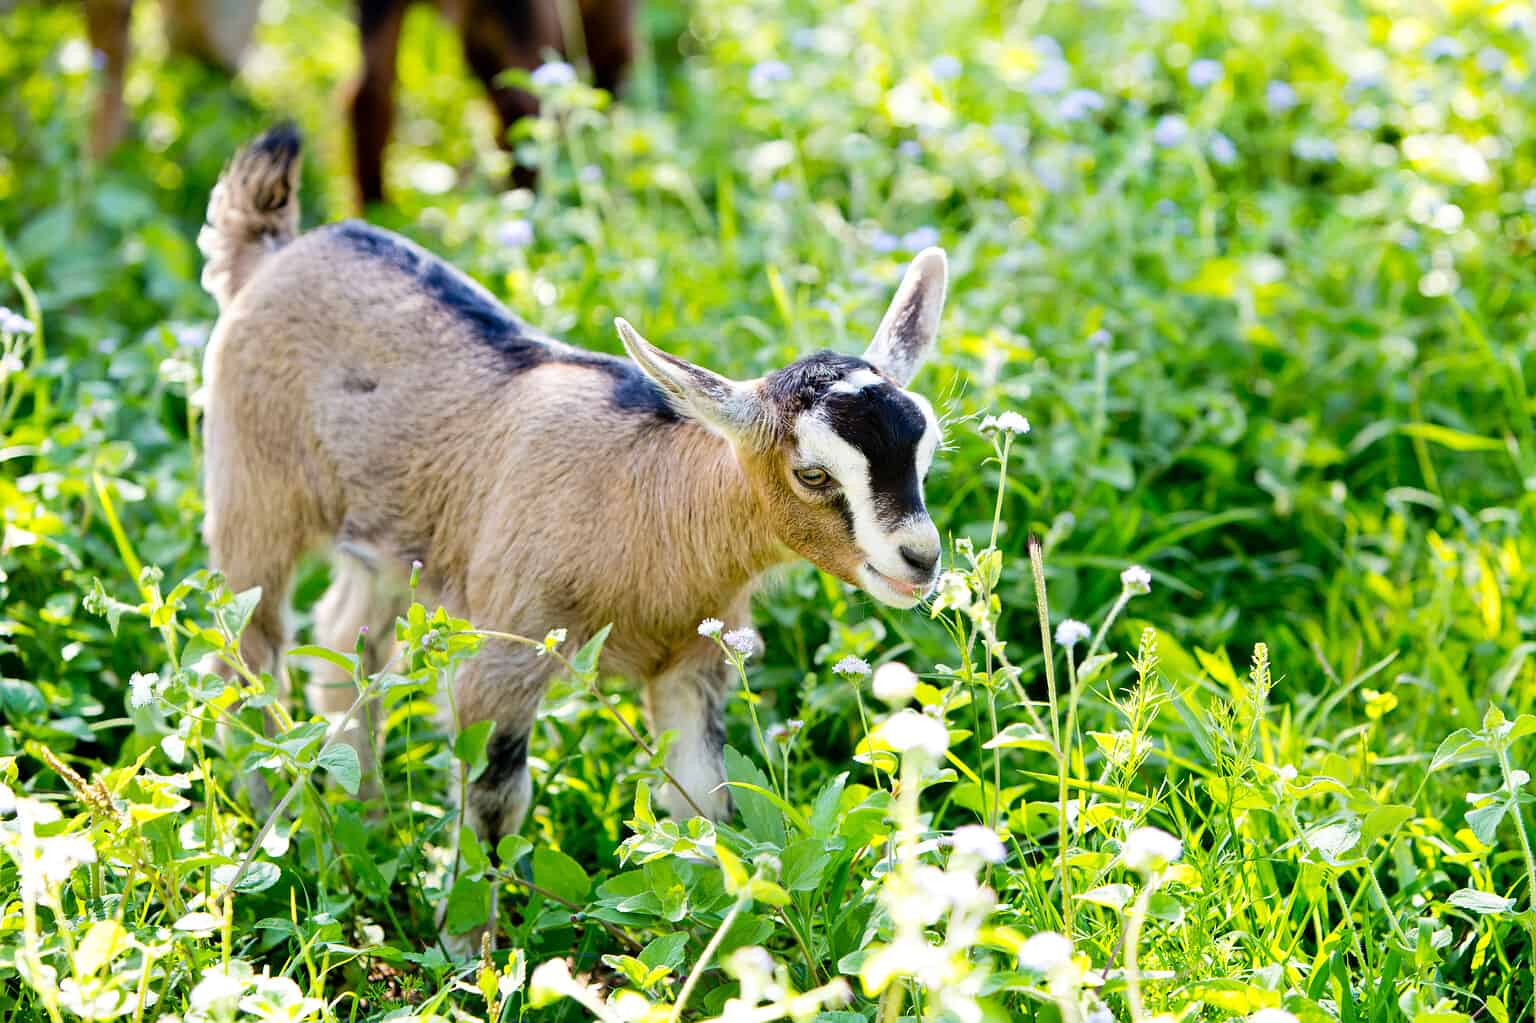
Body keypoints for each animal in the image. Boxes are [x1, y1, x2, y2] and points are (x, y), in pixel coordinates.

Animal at [198, 125, 948, 859]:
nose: (920, 557)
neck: (652, 497)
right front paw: (476, 904)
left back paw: (370, 822)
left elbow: (702, 809)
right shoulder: (505, 655)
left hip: (388, 539)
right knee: (244, 655)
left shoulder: (694, 662)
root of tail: (271, 252)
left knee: (347, 642)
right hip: (250, 495)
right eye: (812, 473)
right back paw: (274, 831)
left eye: (927, 448)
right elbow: (494, 808)